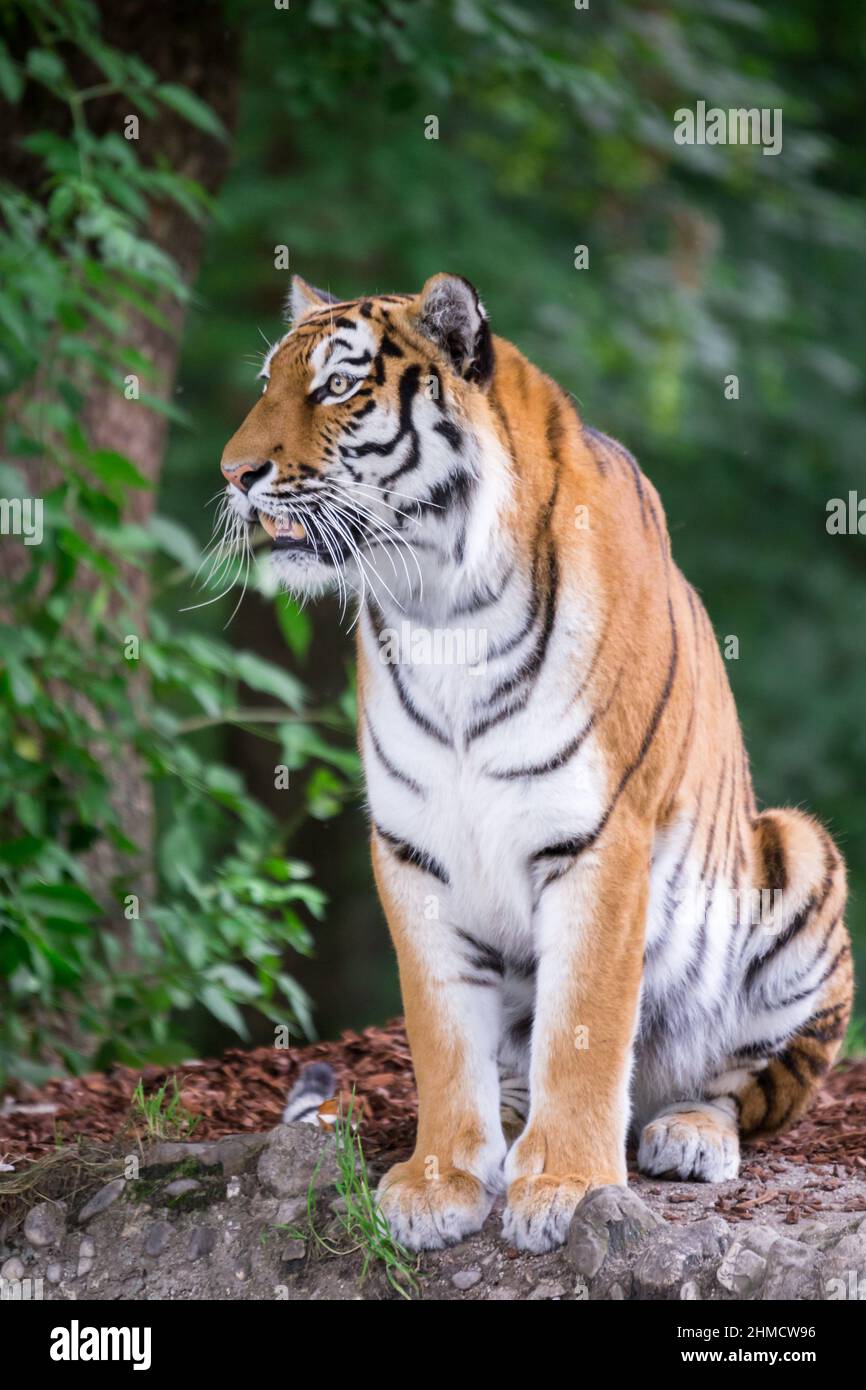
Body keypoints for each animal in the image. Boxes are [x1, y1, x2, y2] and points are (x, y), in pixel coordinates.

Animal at [219, 272, 853, 1253]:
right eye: (267, 384)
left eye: (337, 387)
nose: (233, 474)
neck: (441, 608)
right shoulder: (412, 847)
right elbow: (442, 1032)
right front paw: (439, 1181)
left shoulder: (598, 839)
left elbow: (584, 1023)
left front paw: (565, 1186)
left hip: (798, 855)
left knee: (744, 1088)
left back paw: (685, 1133)